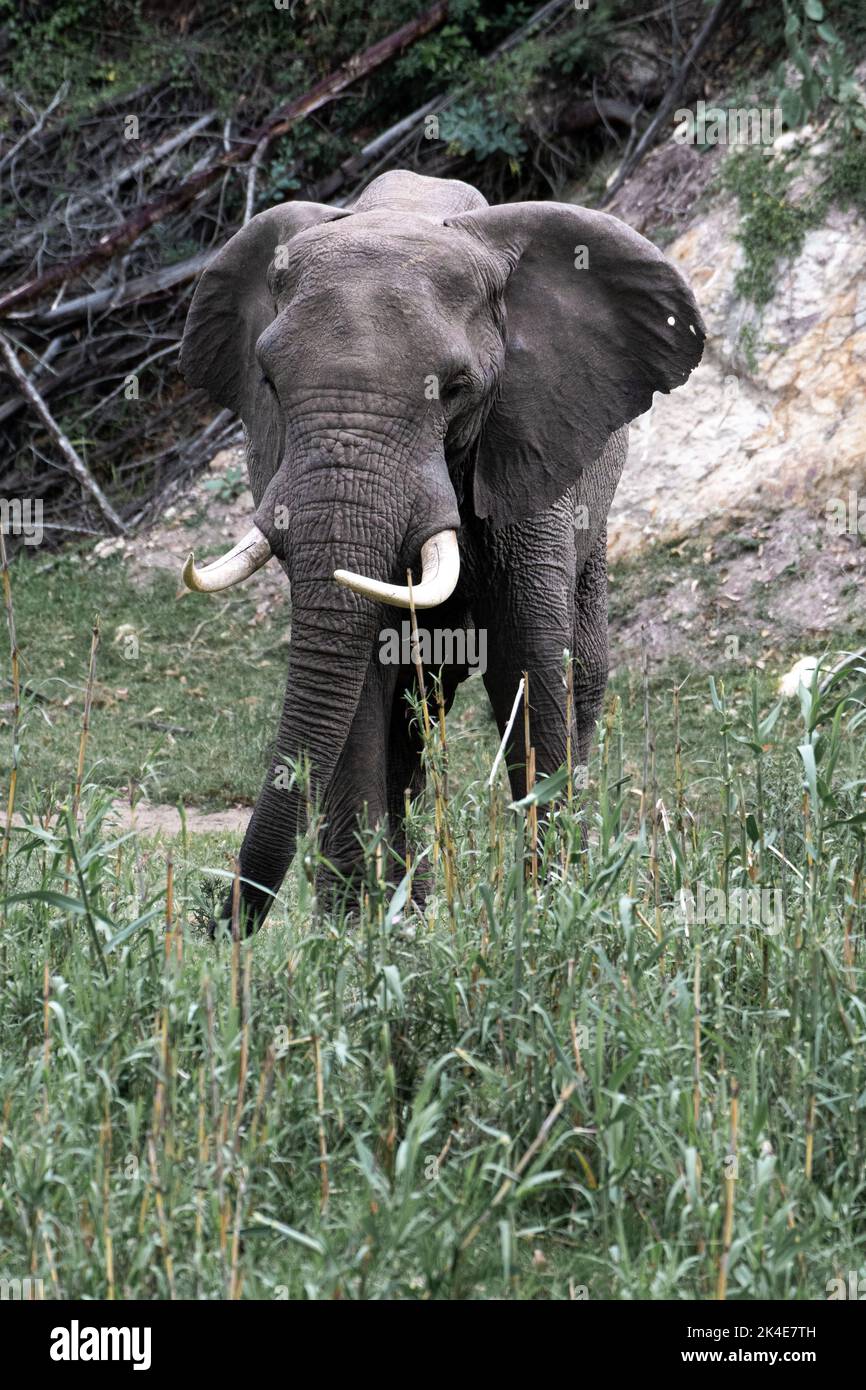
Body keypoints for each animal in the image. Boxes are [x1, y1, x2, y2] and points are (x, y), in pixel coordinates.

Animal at [179, 169, 704, 933]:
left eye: (456, 389)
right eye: (268, 383)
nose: (220, 929)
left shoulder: (526, 437)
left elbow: (528, 662)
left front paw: (552, 912)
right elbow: (362, 685)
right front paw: (358, 938)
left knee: (582, 669)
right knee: (411, 718)